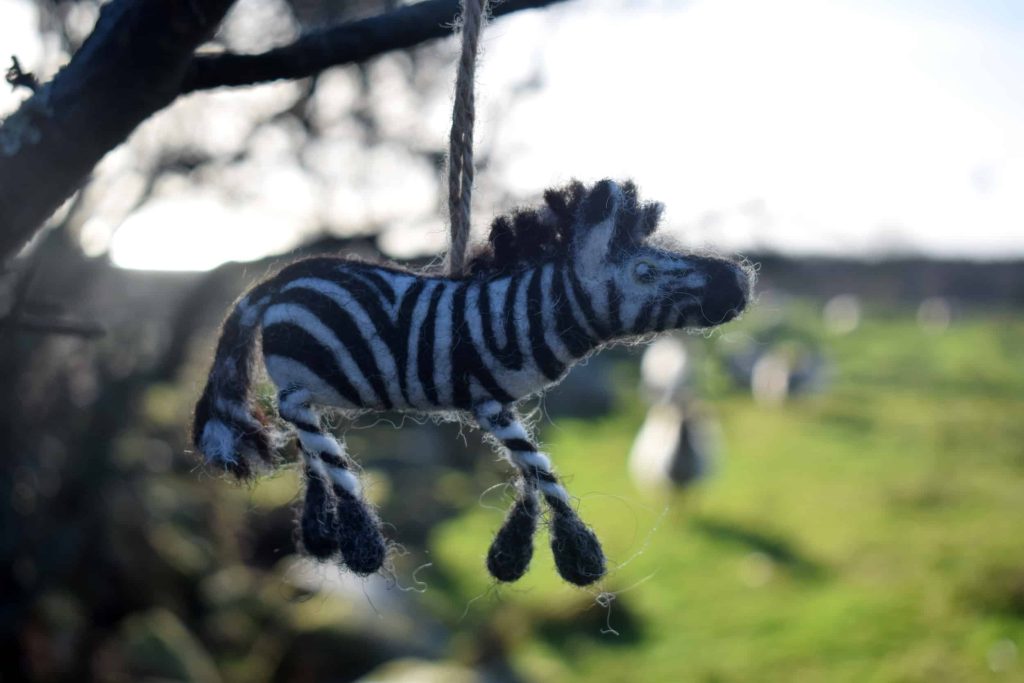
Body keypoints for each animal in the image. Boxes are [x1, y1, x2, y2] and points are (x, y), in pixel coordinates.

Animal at [192, 179, 753, 586]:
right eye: (644, 270)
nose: (741, 281)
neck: (523, 314)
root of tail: (281, 281)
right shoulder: (487, 401)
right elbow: (537, 468)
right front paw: (578, 555)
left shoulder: (499, 405)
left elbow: (529, 469)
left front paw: (513, 553)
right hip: (299, 375)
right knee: (299, 420)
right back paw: (358, 535)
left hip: (309, 380)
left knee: (302, 430)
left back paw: (321, 527)